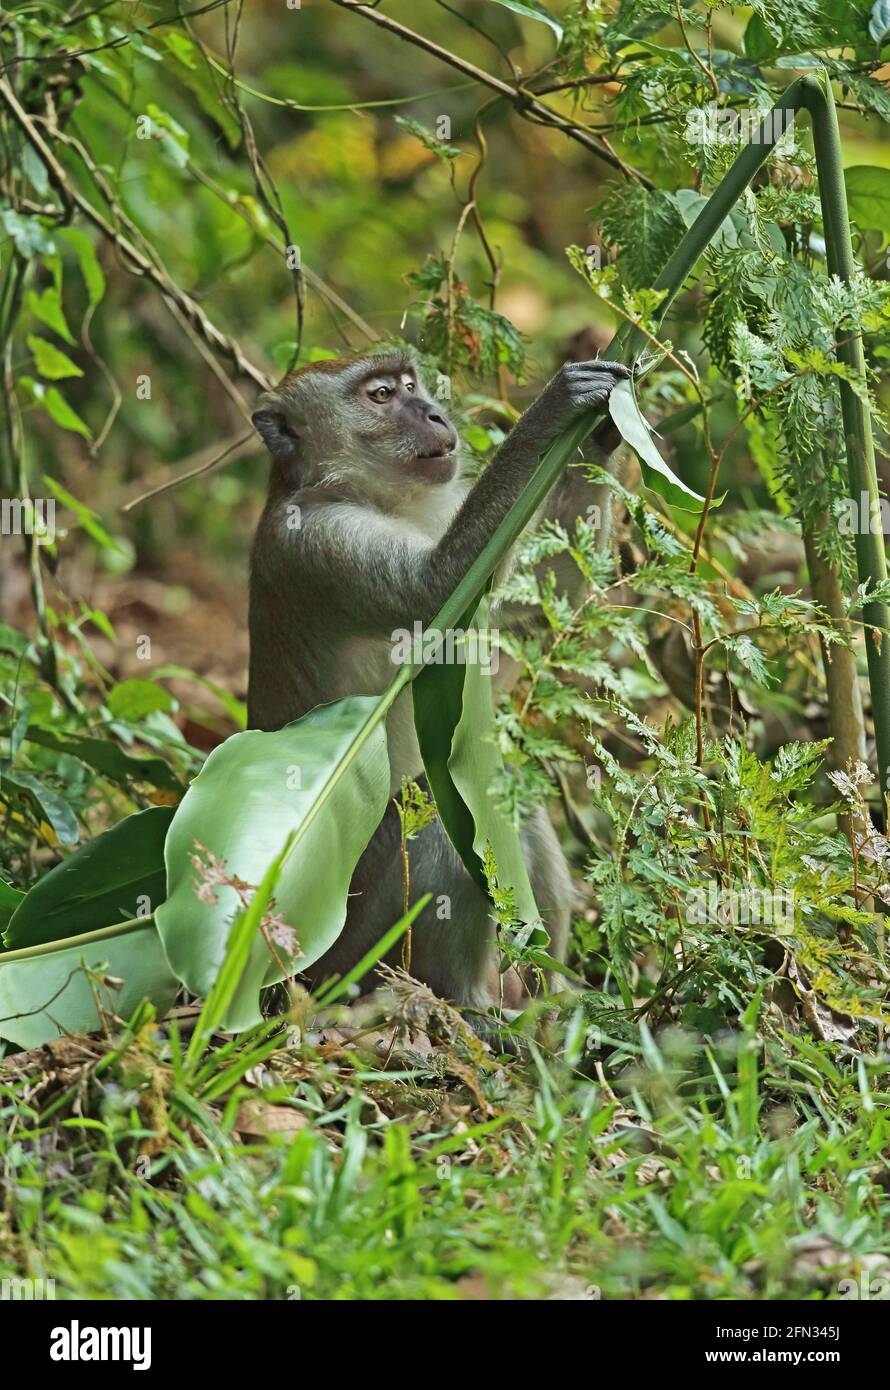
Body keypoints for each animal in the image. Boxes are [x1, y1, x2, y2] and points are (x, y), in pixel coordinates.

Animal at [248, 348, 629, 1035]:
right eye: (380, 395)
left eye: (410, 383)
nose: (433, 411)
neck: (347, 489)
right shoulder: (322, 544)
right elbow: (439, 587)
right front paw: (553, 409)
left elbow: (521, 622)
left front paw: (602, 430)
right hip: (354, 937)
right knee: (438, 805)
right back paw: (469, 1005)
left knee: (508, 793)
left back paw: (547, 1000)